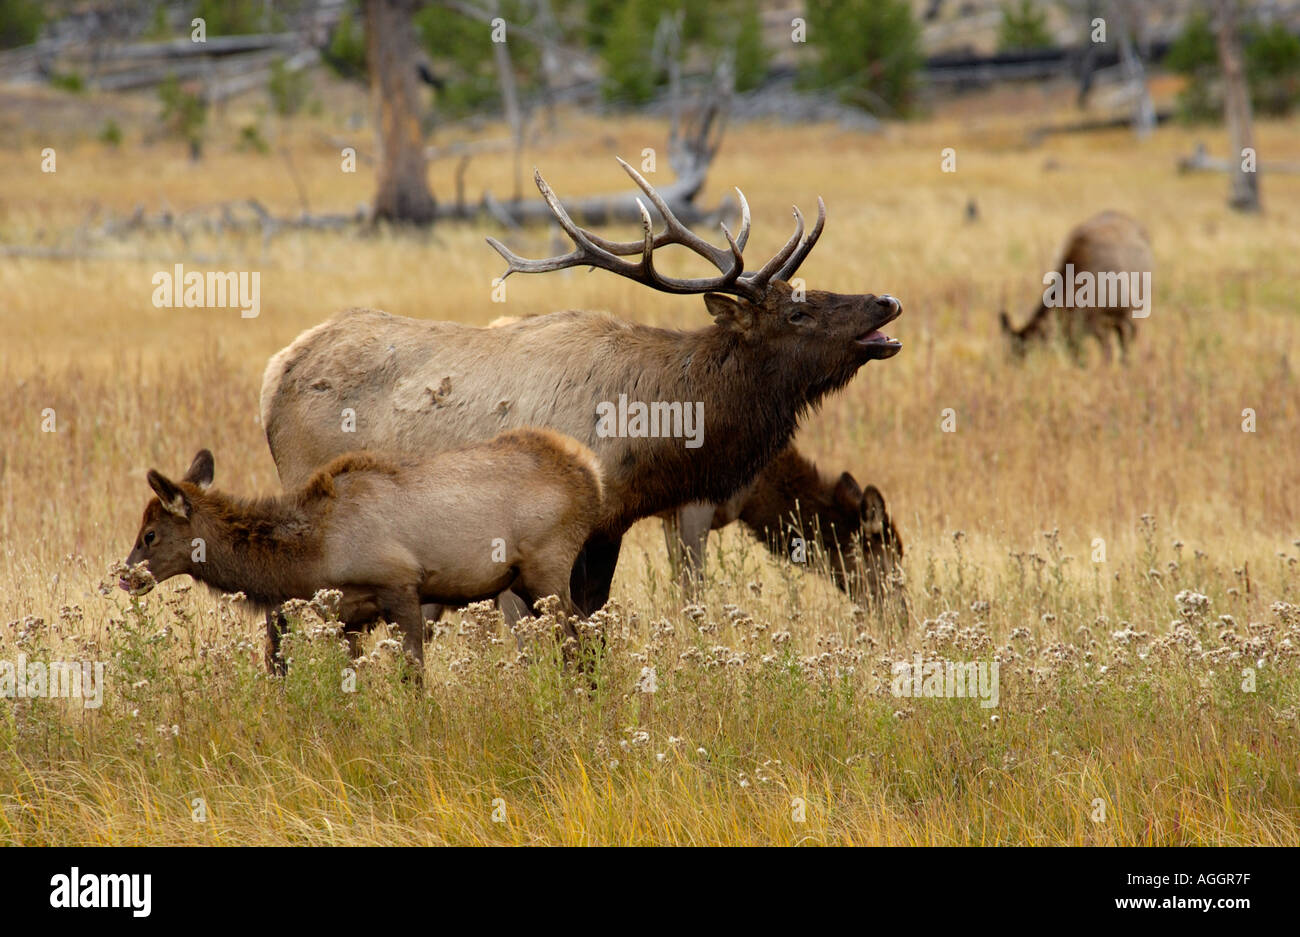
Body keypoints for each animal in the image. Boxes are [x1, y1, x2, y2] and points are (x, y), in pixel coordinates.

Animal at [121, 429, 603, 675]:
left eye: (150, 534)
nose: (126, 576)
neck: (314, 556)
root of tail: (590, 471)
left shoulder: (401, 585)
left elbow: (413, 674)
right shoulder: (346, 614)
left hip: (547, 567)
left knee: (581, 637)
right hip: (526, 581)